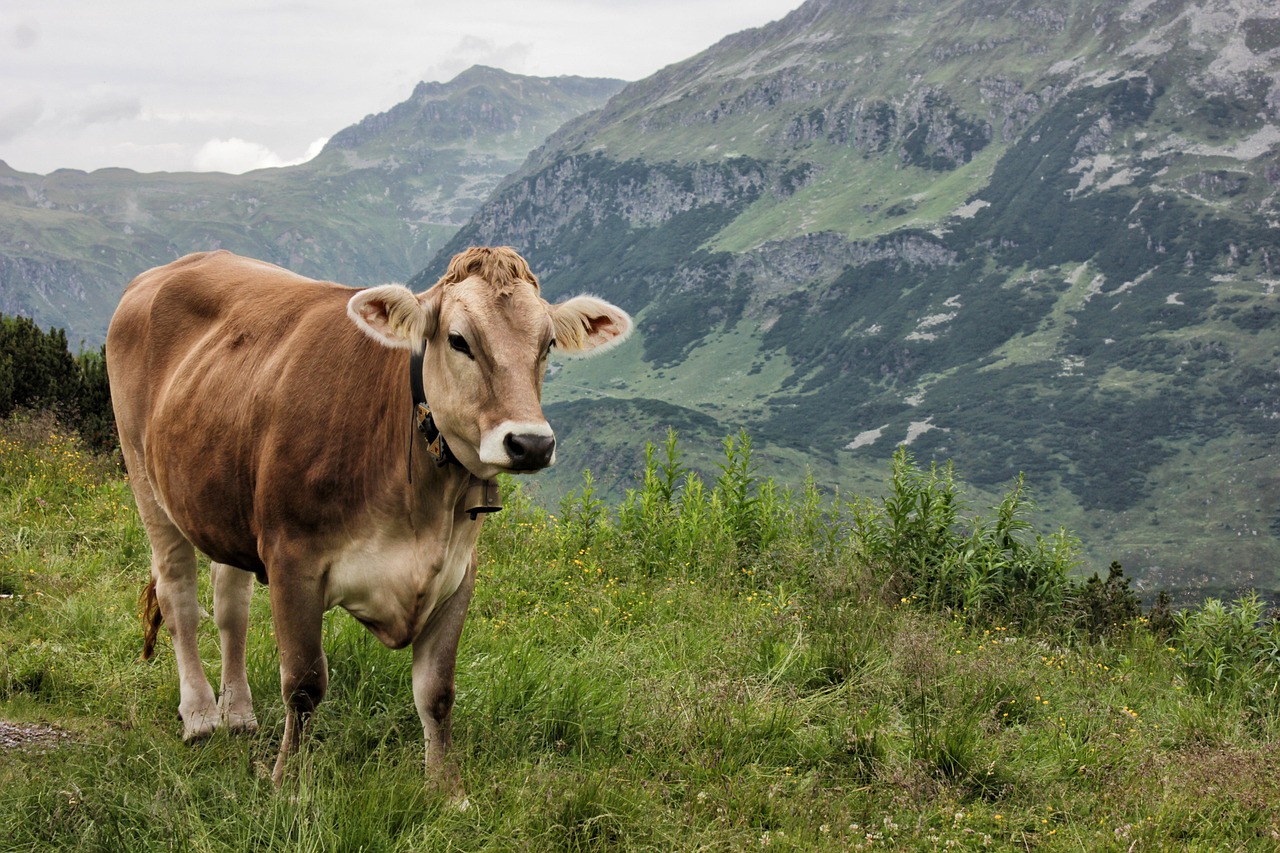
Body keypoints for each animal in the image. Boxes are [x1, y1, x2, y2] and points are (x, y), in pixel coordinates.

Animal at [106, 247, 631, 801]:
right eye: (458, 340)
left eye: (547, 344)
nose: (530, 444)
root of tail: (172, 267)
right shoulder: (292, 560)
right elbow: (304, 683)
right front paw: (289, 783)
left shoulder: (458, 574)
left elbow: (437, 692)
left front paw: (448, 791)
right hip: (146, 478)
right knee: (178, 595)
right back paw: (202, 717)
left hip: (223, 499)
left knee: (231, 603)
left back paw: (239, 713)